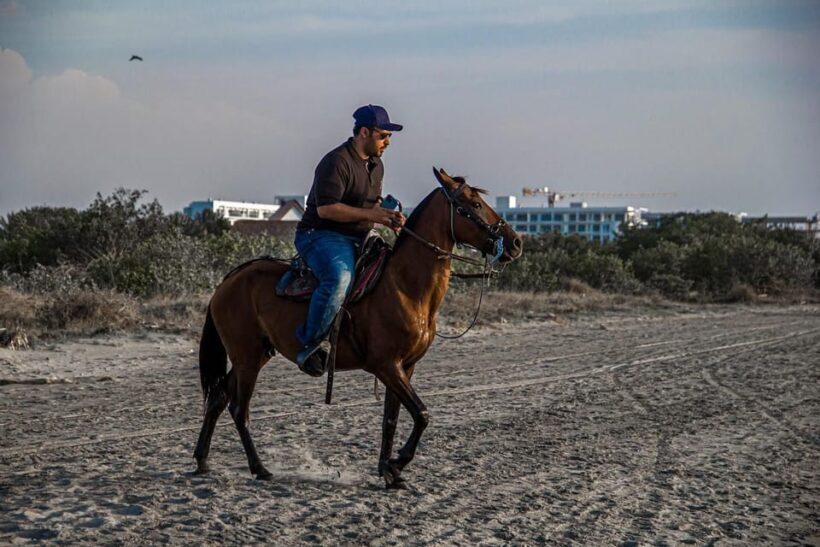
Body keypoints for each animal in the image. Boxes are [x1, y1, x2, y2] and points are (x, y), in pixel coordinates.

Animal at [193, 167, 523, 488]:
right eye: (474, 204)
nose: (516, 242)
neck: (405, 287)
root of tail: (228, 281)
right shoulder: (386, 365)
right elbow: (421, 414)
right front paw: (397, 462)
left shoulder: (406, 367)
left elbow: (391, 419)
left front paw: (390, 472)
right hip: (247, 357)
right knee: (239, 410)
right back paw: (259, 468)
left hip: (256, 354)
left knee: (219, 399)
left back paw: (202, 461)